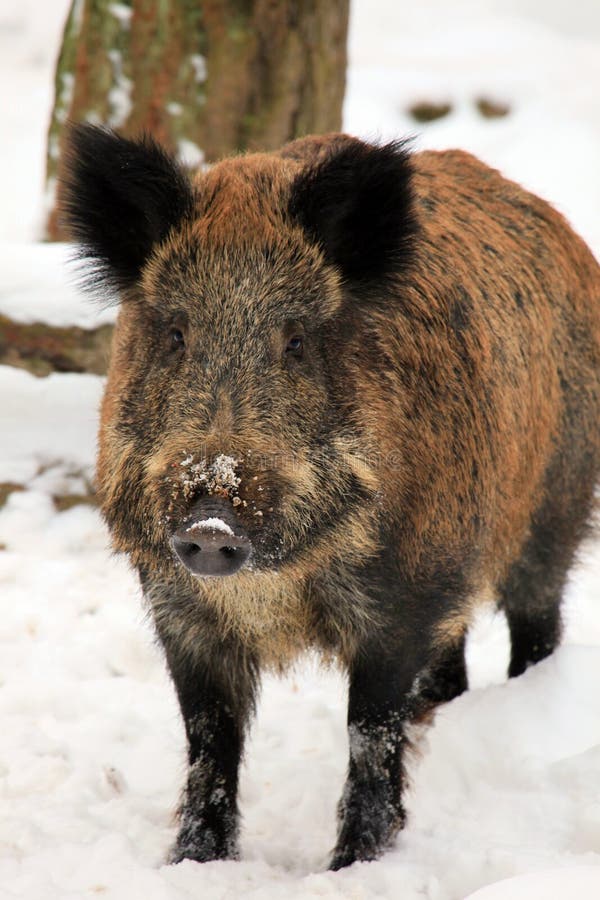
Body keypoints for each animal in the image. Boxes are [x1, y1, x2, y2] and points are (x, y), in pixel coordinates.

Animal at [61, 124, 600, 870]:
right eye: (175, 334)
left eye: (294, 341)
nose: (211, 523)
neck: (276, 587)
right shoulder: (180, 609)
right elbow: (210, 740)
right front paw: (192, 864)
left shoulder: (400, 598)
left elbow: (369, 731)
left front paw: (354, 865)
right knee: (452, 663)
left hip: (554, 507)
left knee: (536, 622)